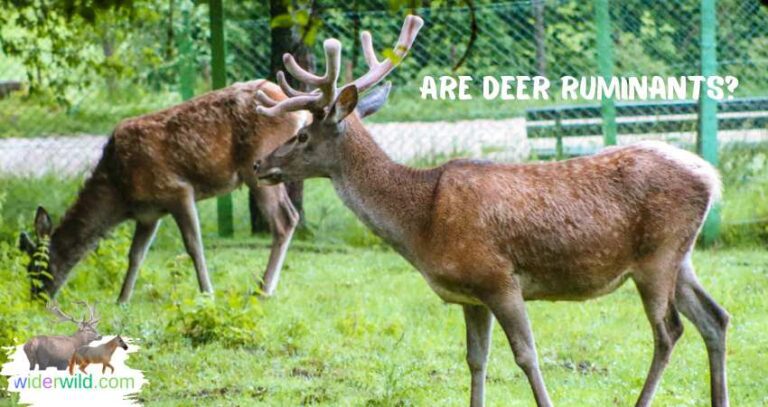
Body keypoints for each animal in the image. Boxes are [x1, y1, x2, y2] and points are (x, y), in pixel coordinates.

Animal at [18, 80, 307, 303]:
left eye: (37, 268)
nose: (36, 299)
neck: (119, 193)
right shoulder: (149, 214)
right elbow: (136, 254)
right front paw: (122, 299)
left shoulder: (176, 190)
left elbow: (193, 246)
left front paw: (207, 293)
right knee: (290, 216)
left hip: (257, 166)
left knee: (284, 219)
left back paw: (263, 290)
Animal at [252, 15, 730, 407]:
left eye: (302, 135)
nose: (259, 164)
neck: (421, 224)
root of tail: (711, 176)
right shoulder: (471, 294)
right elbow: (475, 359)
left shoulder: (497, 277)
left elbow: (526, 356)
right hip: (681, 259)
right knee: (716, 318)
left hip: (657, 258)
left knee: (669, 331)